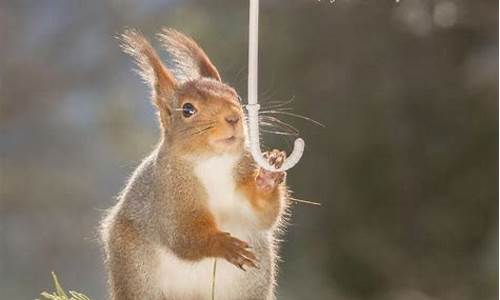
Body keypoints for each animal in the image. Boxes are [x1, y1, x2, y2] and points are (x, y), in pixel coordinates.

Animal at [100, 28, 290, 300]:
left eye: (235, 95)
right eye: (188, 109)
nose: (233, 117)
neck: (213, 161)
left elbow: (261, 216)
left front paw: (268, 177)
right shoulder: (168, 193)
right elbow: (183, 235)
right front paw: (224, 244)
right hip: (137, 271)